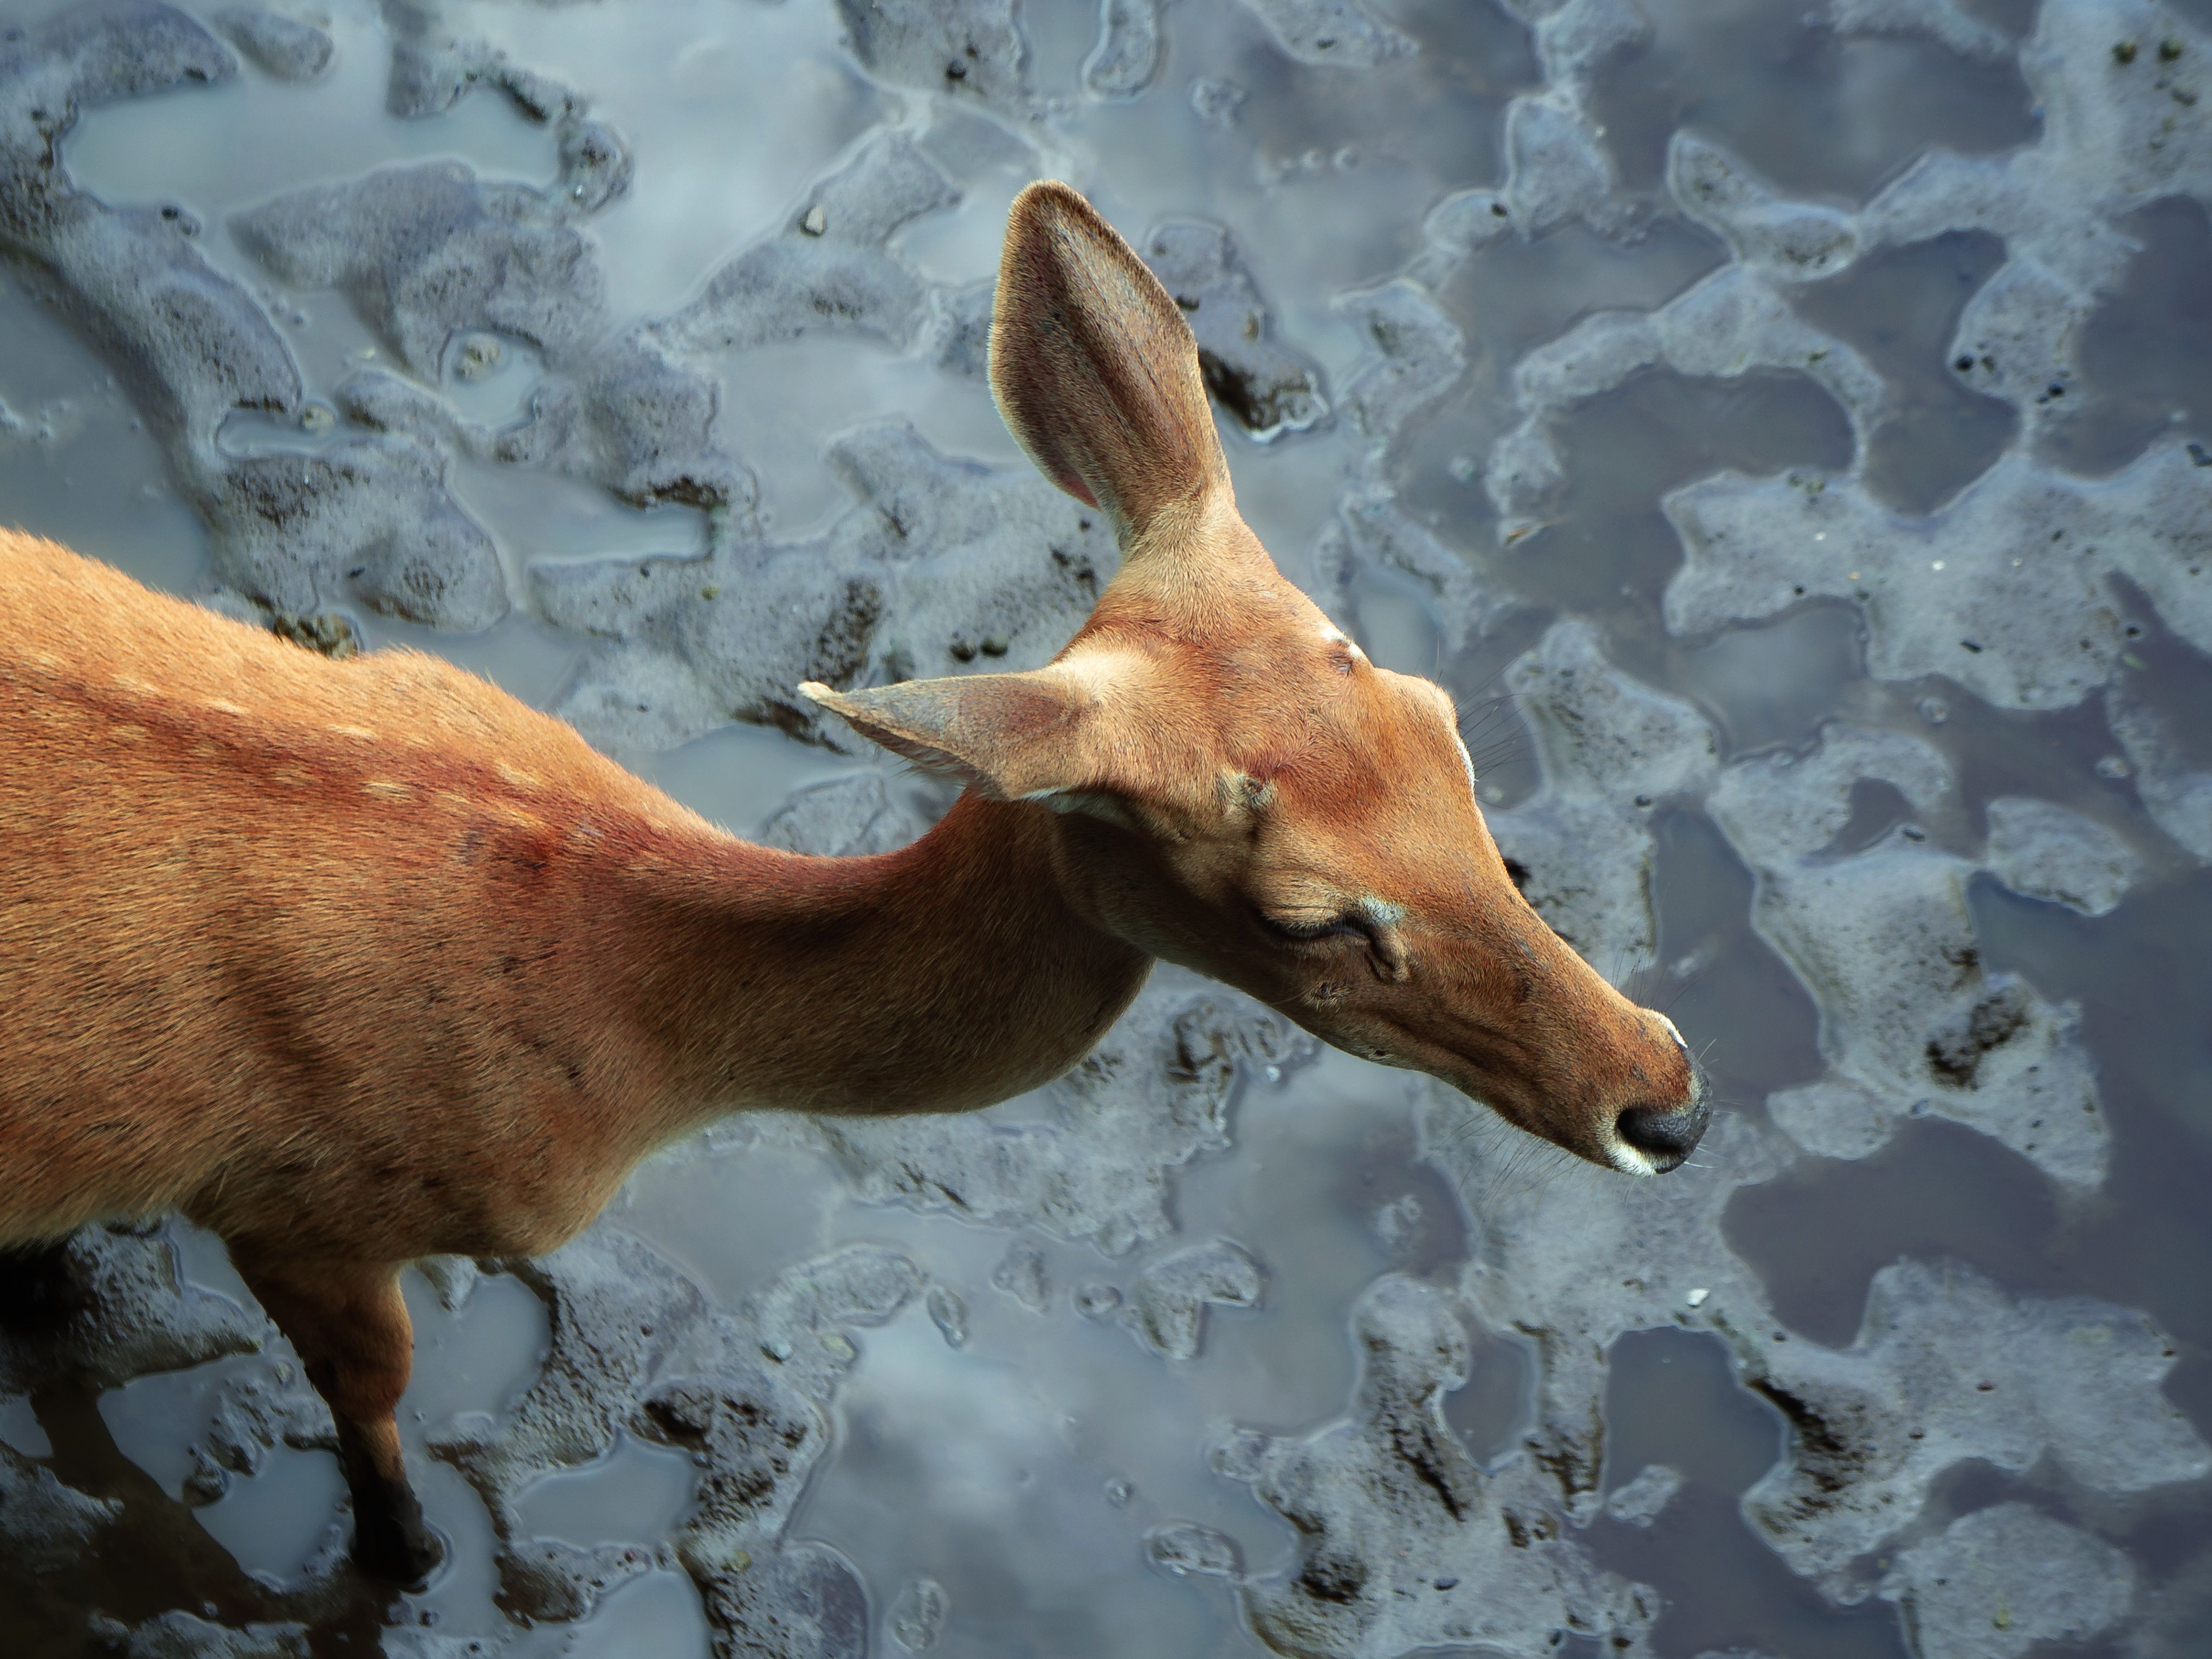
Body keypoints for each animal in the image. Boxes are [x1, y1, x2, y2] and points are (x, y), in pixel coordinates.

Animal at [0, 181, 1706, 1585]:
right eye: (1306, 912)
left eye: (1445, 723)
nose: (1664, 1097)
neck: (616, 1015)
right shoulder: (305, 1200)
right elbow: (381, 1449)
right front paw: (404, 1557)